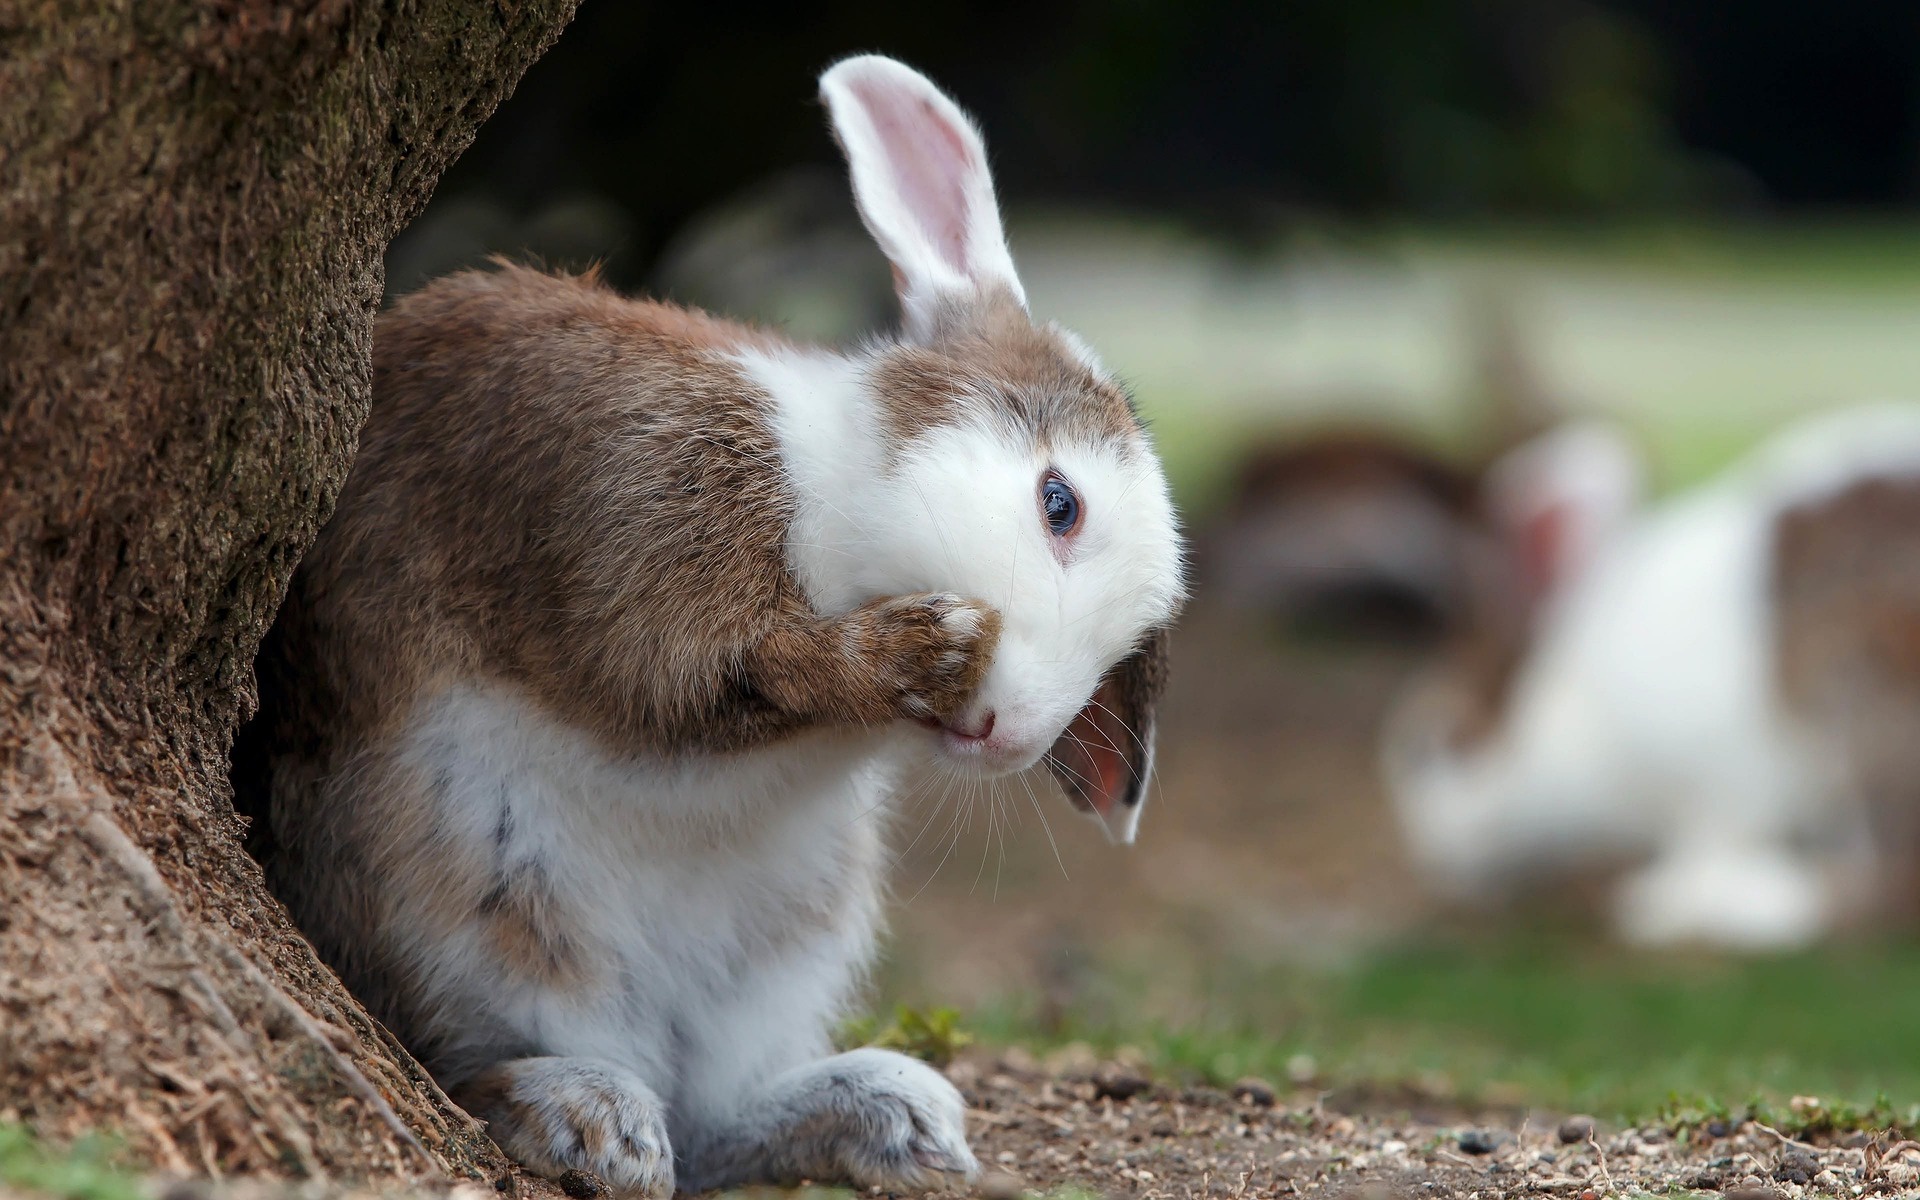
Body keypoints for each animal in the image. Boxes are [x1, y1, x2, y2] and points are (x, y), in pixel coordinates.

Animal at [236, 54, 1185, 1196]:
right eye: (1059, 504)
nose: (1008, 734)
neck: (833, 488)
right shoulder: (644, 537)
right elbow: (709, 675)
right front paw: (927, 644)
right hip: (474, 901)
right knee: (479, 1062)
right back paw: (591, 1122)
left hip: (785, 945)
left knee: (715, 1116)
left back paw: (894, 1116)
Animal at [1380, 401, 1920, 950]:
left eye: (1420, 749)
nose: (1429, 861)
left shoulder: (1725, 787)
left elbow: (1714, 847)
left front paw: (1664, 897)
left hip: (1862, 701)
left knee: (1883, 889)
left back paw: (1675, 903)